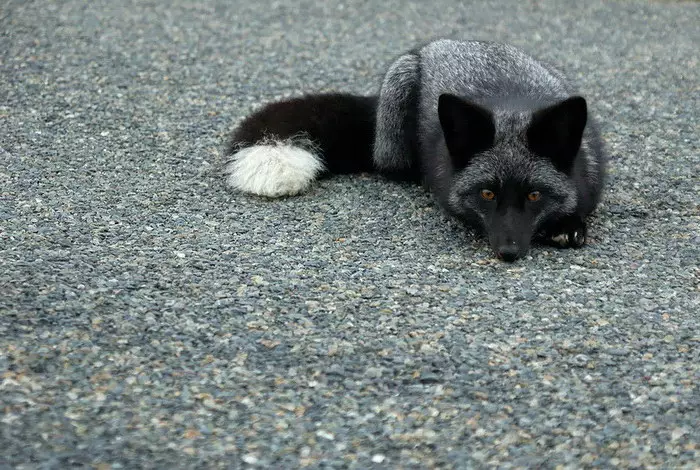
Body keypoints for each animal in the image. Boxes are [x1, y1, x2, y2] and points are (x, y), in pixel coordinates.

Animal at [221, 39, 604, 260]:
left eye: (535, 196)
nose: (508, 252)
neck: (512, 107)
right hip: (398, 99)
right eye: (487, 194)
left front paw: (570, 224)